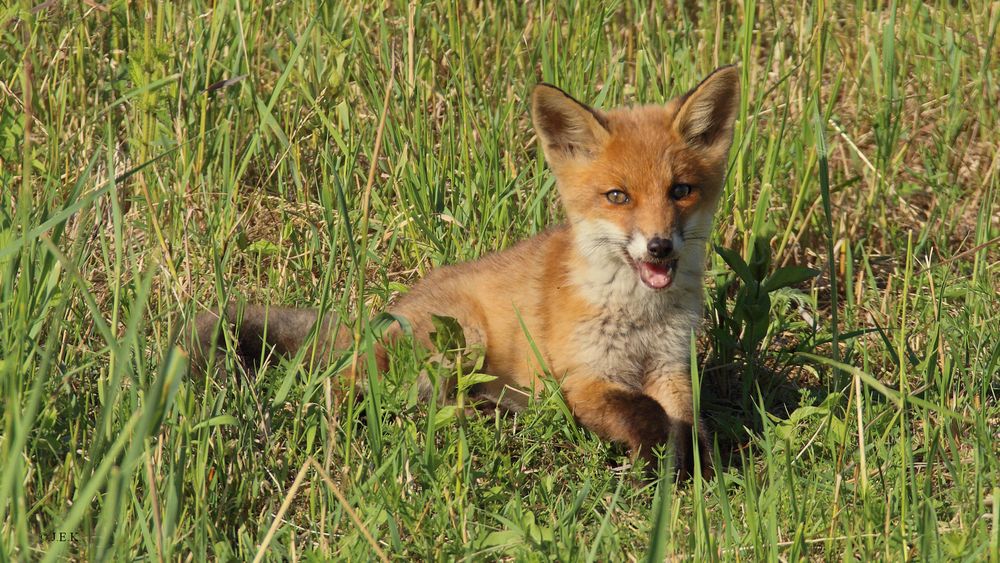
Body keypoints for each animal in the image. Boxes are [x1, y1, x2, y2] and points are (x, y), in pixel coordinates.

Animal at [190, 65, 740, 479]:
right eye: (618, 196)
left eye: (680, 190)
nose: (659, 246)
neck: (640, 318)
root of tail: (385, 313)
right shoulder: (583, 378)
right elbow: (645, 414)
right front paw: (659, 464)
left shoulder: (673, 368)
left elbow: (691, 423)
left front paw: (700, 469)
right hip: (462, 337)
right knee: (369, 390)